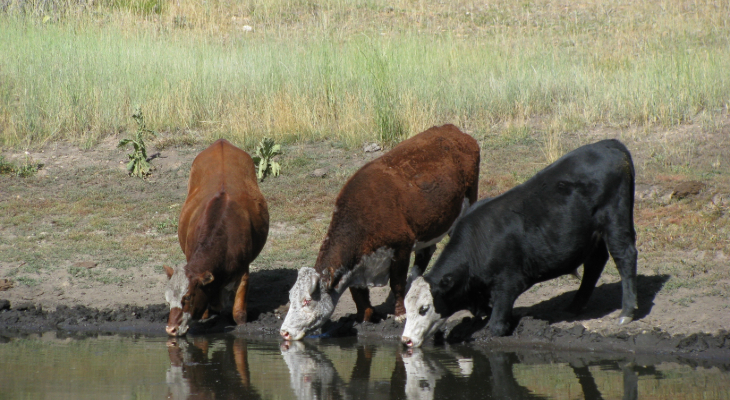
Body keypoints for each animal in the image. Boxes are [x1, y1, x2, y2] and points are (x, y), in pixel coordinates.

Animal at [164, 139, 269, 336]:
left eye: (187, 297)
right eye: (167, 298)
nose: (171, 329)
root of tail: (221, 142)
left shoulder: (243, 272)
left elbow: (239, 313)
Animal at [280, 124, 480, 341]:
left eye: (307, 301)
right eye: (291, 298)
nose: (284, 332)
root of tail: (453, 130)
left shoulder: (401, 247)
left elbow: (397, 283)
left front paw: (400, 314)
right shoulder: (357, 265)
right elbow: (359, 294)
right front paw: (364, 316)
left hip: (468, 201)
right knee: (424, 254)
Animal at [401, 139, 638, 347]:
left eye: (424, 308)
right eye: (406, 307)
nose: (406, 340)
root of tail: (609, 144)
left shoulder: (508, 283)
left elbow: (496, 326)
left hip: (615, 218)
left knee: (625, 256)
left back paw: (626, 312)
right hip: (593, 234)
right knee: (595, 263)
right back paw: (575, 305)